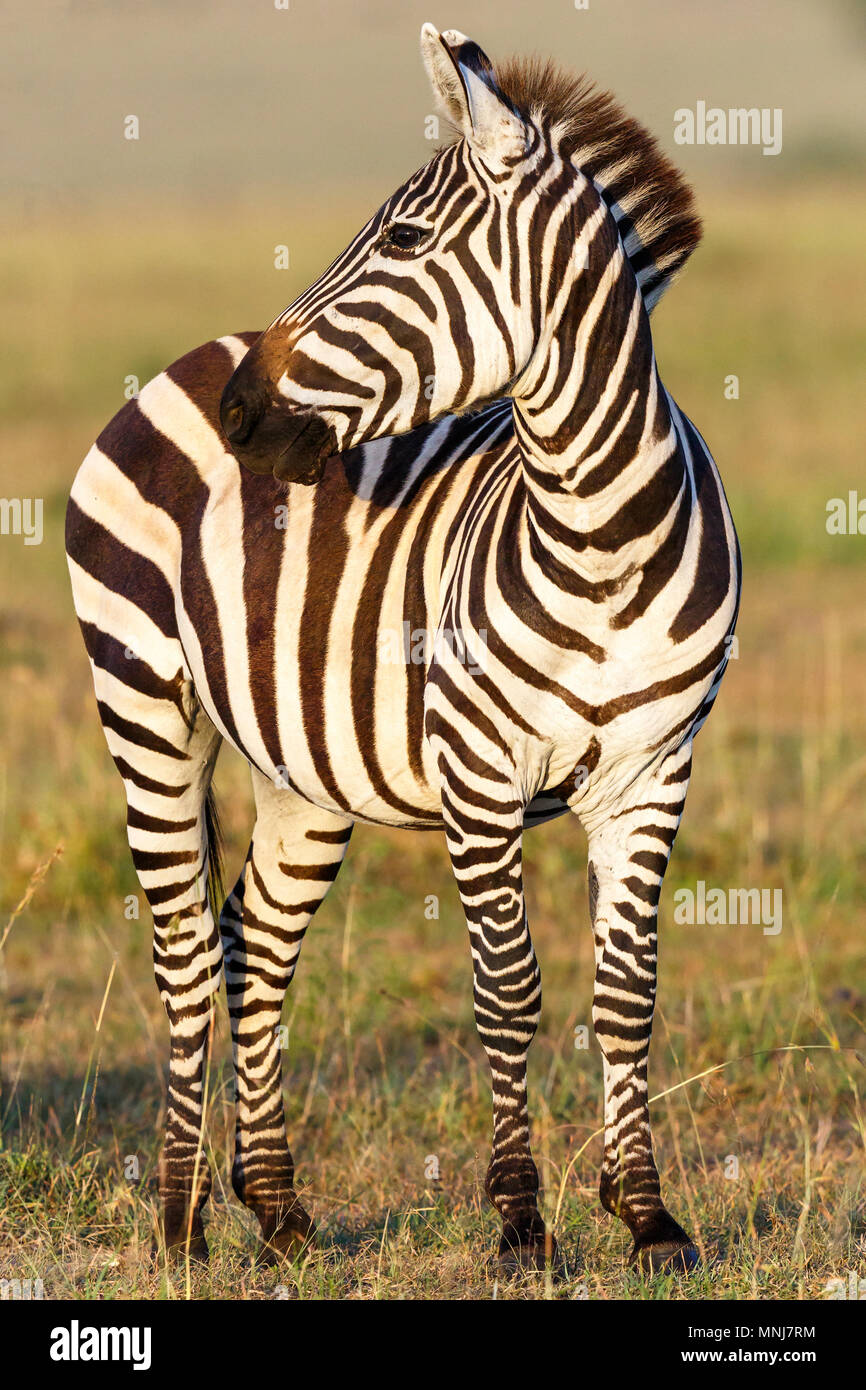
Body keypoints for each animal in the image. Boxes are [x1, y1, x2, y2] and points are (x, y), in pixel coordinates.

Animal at [66, 24, 740, 1276]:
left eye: (405, 240)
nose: (242, 415)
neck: (600, 534)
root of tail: (194, 355)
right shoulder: (478, 771)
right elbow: (507, 989)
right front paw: (520, 1221)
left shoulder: (653, 772)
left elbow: (625, 993)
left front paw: (646, 1217)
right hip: (143, 701)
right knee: (181, 947)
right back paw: (180, 1220)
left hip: (302, 768)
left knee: (254, 945)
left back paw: (277, 1210)